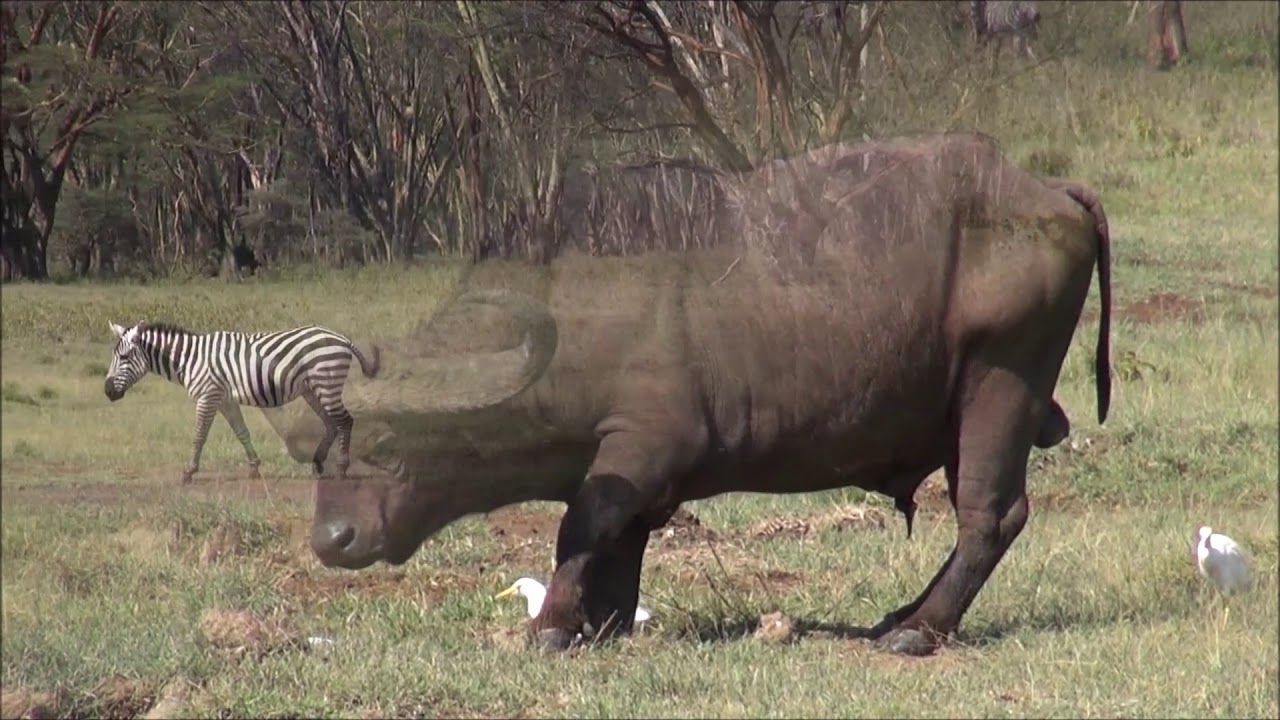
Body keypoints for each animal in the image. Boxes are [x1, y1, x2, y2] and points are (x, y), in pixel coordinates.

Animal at [104, 321, 380, 484]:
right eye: (115, 356)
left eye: (125, 357)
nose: (107, 392)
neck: (190, 359)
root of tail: (342, 338)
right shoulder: (225, 401)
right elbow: (242, 432)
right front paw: (254, 468)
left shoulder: (207, 396)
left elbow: (199, 436)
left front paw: (189, 471)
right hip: (312, 389)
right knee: (331, 423)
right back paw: (318, 463)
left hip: (326, 383)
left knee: (345, 421)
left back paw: (342, 469)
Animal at [262, 132, 1112, 656]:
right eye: (318, 457)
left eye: (381, 445)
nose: (332, 538)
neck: (572, 312)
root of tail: (1043, 190)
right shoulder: (632, 472)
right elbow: (617, 542)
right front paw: (602, 623)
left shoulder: (643, 449)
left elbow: (580, 530)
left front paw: (553, 625)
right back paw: (901, 615)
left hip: (1001, 383)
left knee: (990, 515)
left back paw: (920, 628)